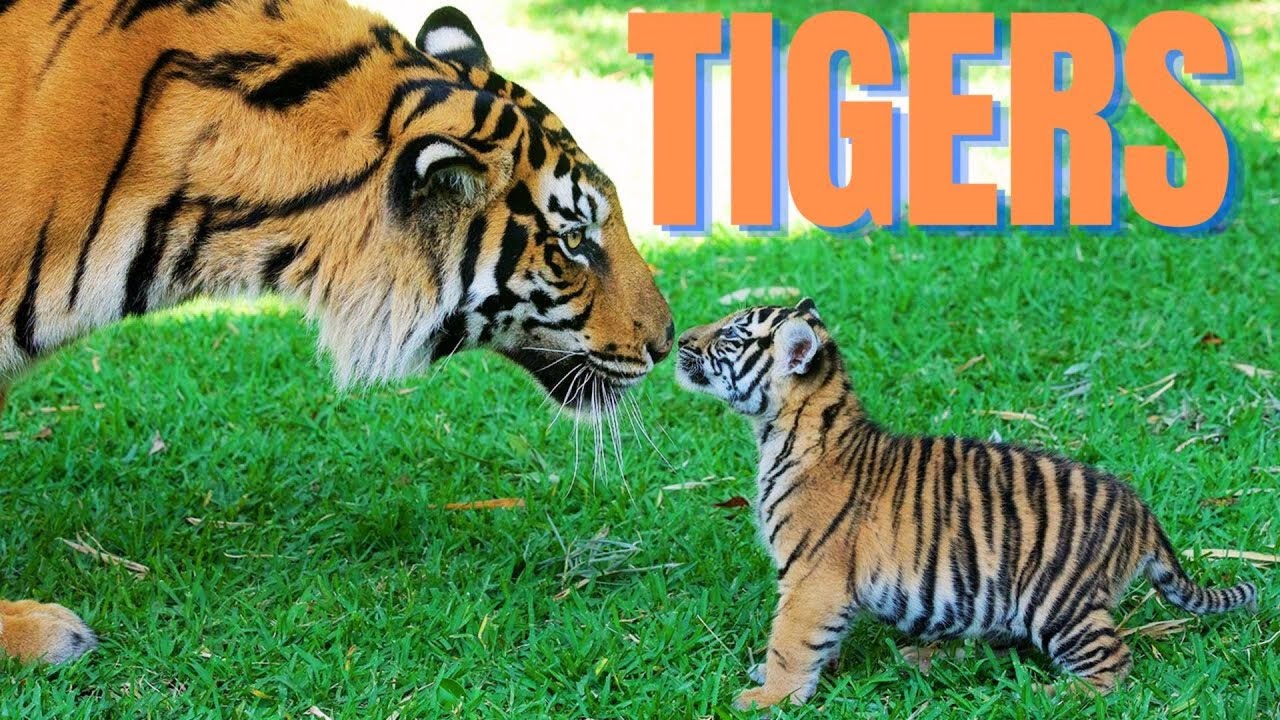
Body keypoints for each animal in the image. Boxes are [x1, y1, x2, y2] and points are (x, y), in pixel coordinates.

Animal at [675, 299, 1258, 710]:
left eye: (731, 335)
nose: (680, 338)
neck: (780, 430)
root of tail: (1141, 510)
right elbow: (816, 639)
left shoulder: (812, 577)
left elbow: (792, 639)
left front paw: (768, 696)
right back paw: (927, 658)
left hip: (1058, 601)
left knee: (1114, 662)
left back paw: (1052, 696)